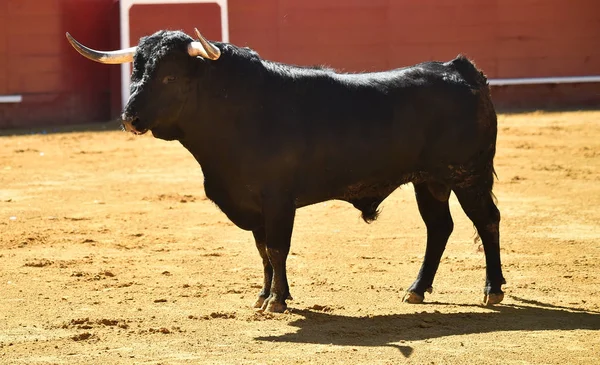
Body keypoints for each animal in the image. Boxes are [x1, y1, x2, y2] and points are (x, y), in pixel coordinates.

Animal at [67, 29, 506, 312]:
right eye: (137, 71)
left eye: (170, 76)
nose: (130, 118)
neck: (239, 111)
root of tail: (461, 70)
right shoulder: (252, 203)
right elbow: (262, 250)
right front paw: (263, 296)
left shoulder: (277, 200)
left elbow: (278, 247)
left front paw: (277, 301)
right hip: (430, 181)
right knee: (439, 227)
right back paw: (416, 289)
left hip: (469, 174)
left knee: (486, 221)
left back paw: (492, 290)